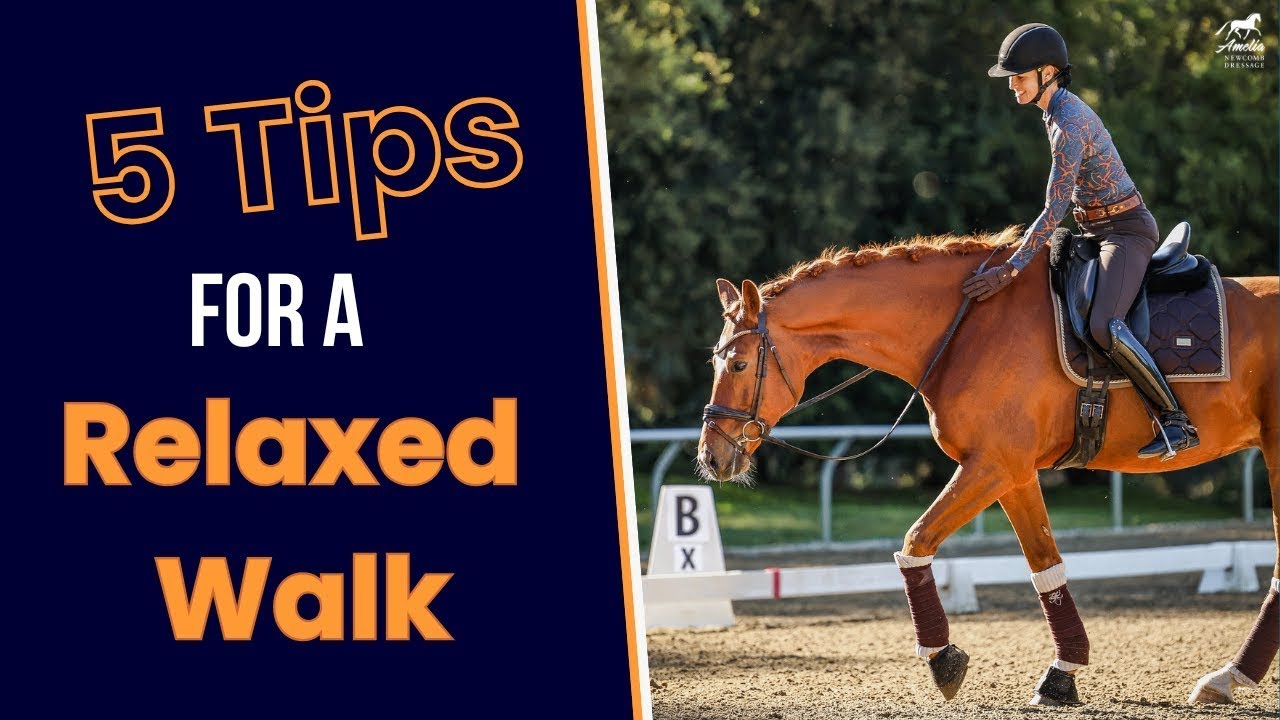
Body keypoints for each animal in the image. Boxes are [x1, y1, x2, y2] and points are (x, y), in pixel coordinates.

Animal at [696, 227, 1279, 706]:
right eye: (714, 361)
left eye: (740, 364)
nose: (710, 456)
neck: (964, 328)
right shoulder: (1014, 472)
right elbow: (1045, 566)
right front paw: (1062, 675)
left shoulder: (992, 465)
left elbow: (917, 539)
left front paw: (942, 660)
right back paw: (1229, 679)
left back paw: (1229, 677)